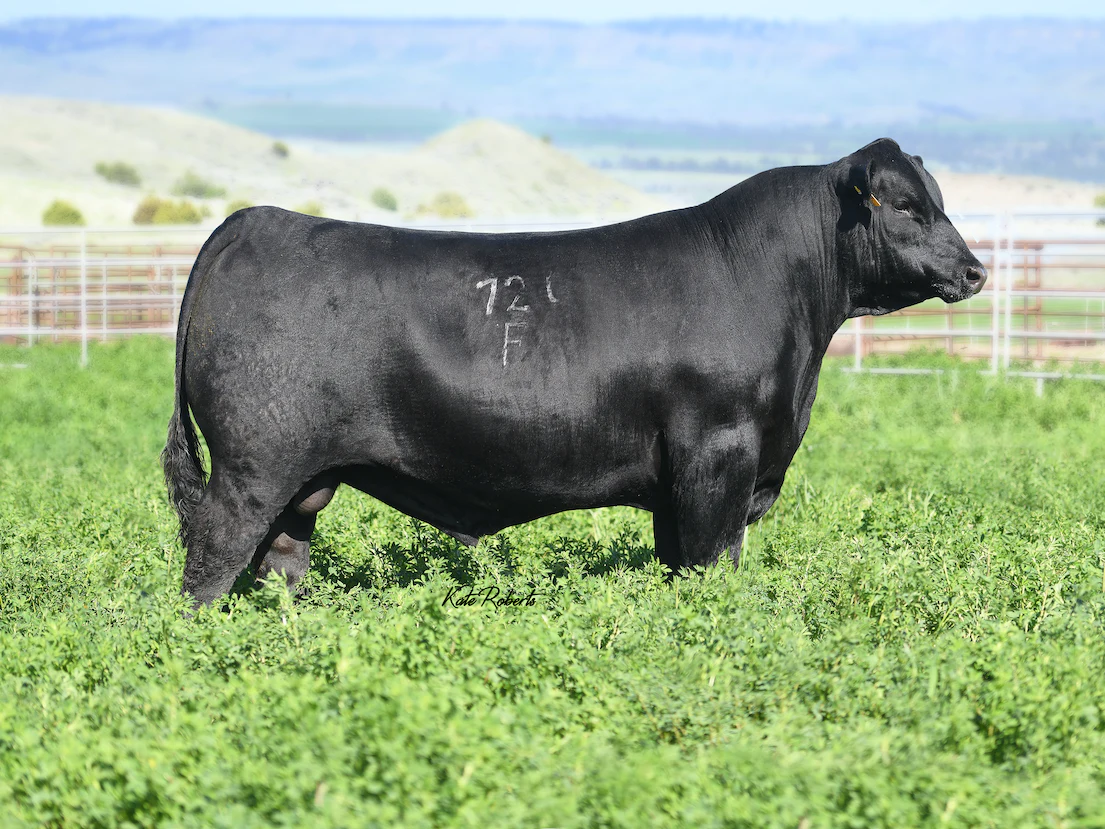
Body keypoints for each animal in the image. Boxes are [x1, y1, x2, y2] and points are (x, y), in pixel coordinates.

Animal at [162, 138, 985, 608]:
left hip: (301, 485)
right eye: (905, 205)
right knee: (208, 566)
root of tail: (255, 220)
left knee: (278, 566)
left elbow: (677, 565)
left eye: (939, 200)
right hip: (252, 469)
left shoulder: (683, 480)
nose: (975, 270)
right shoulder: (717, 455)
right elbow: (709, 567)